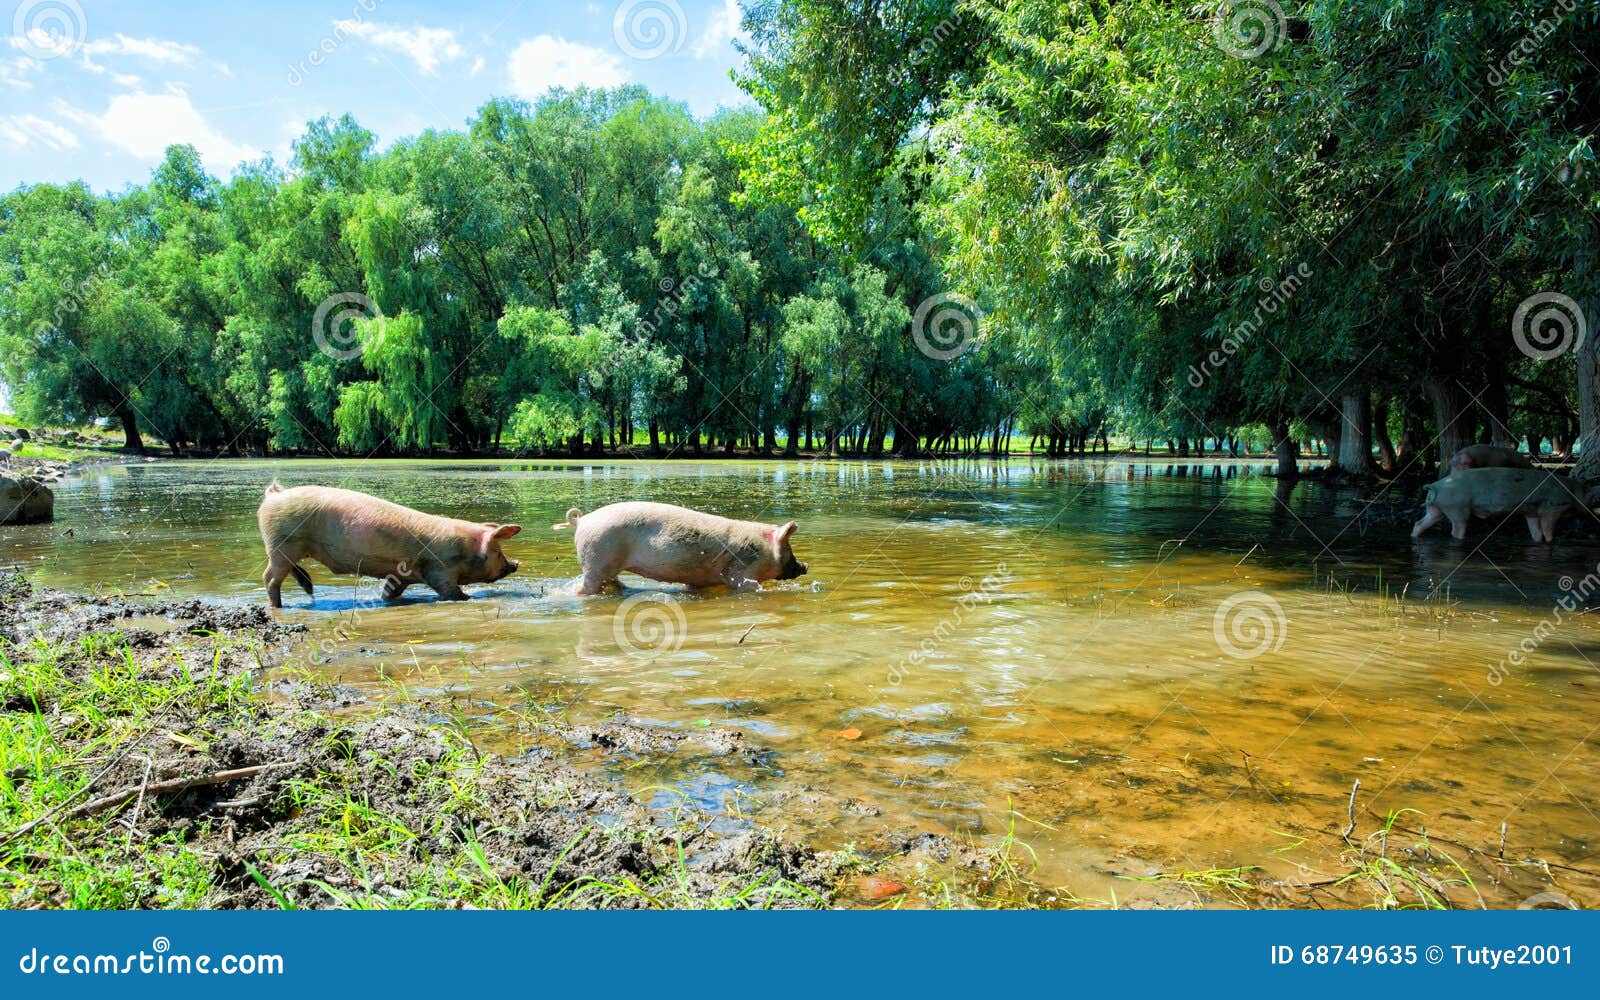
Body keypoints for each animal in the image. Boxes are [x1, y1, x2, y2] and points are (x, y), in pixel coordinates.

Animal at [258, 482, 520, 607]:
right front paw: (467, 598)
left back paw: (308, 589)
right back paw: (278, 606)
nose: (516, 563)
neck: (464, 549)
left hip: (289, 548)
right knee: (269, 578)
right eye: (498, 551)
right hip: (281, 545)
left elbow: (389, 592)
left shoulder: (401, 576)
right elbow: (450, 592)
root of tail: (274, 495)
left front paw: (386, 600)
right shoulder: (439, 569)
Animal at [554, 501, 808, 594]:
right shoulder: (741, 571)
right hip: (596, 557)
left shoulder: (697, 578)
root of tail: (582, 521)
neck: (763, 550)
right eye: (789, 549)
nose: (805, 565)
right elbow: (747, 586)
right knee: (586, 588)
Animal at [1411, 467, 1596, 542]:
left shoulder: (1531, 512)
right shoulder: (1551, 507)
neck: (1573, 492)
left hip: (1437, 508)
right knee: (1456, 529)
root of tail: (1435, 485)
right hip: (1456, 508)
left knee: (1420, 523)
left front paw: (1538, 541)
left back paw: (1414, 536)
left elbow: (1536, 531)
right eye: (1592, 497)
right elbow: (1547, 529)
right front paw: (1551, 541)